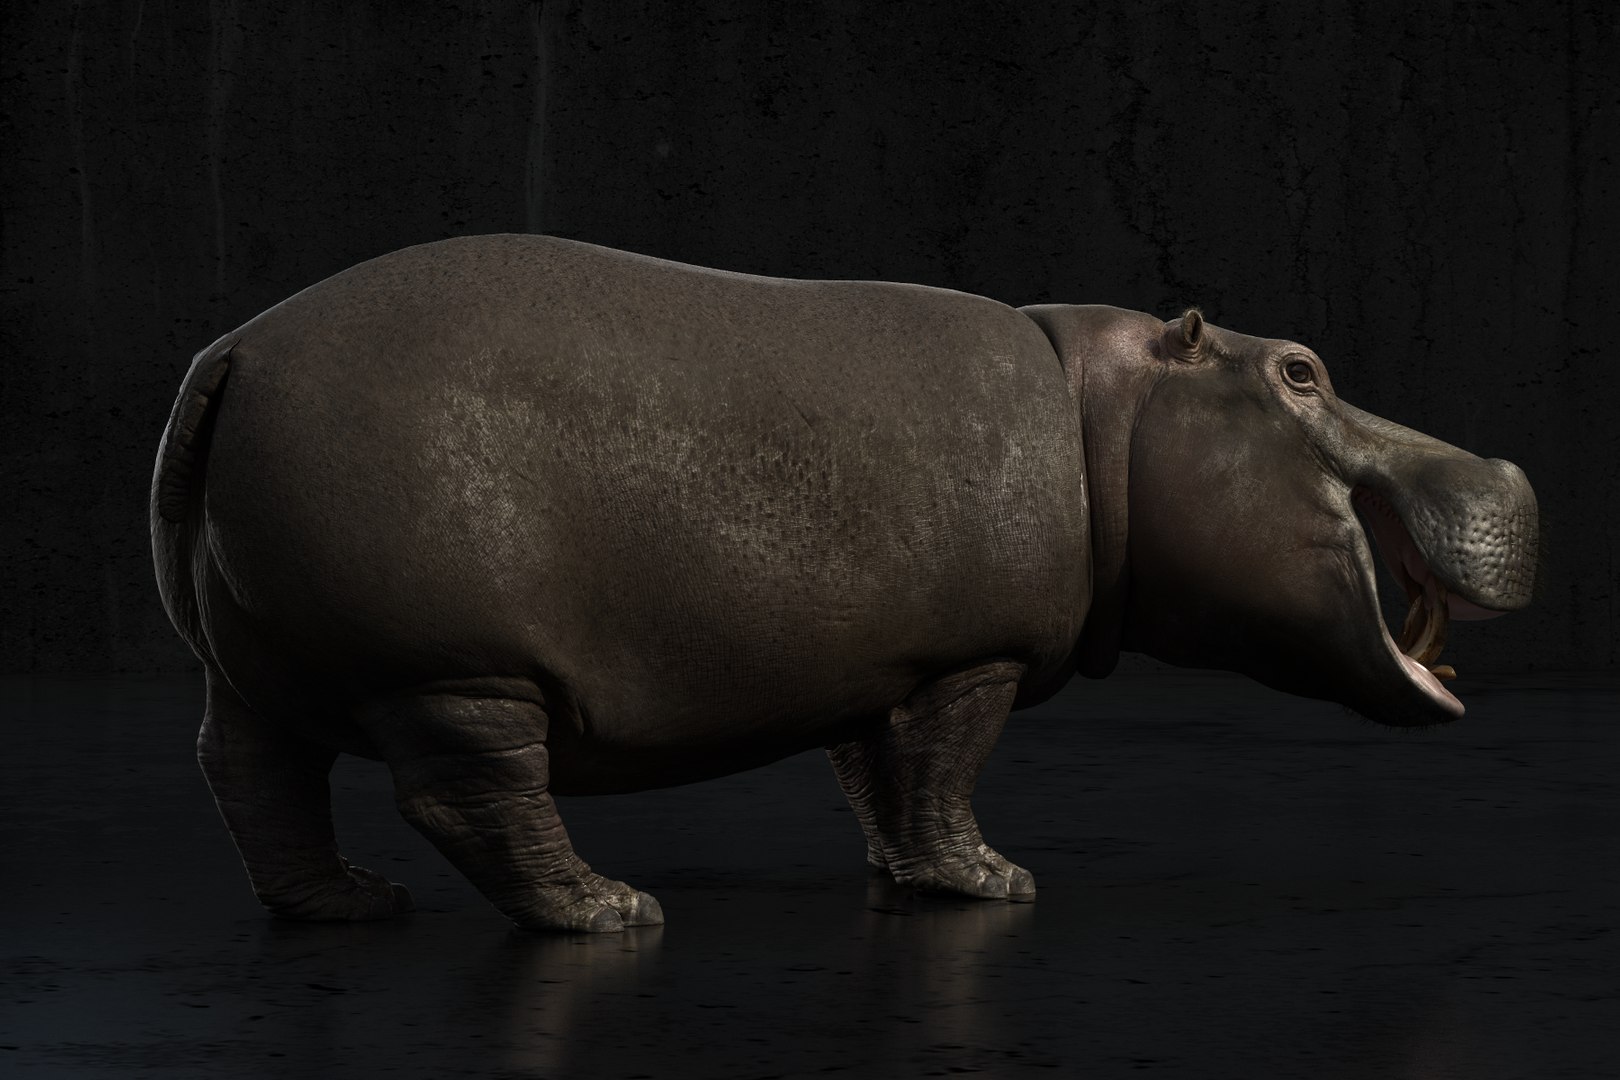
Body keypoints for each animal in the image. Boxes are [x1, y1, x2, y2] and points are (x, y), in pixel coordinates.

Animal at [151, 234, 1538, 932]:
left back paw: (344, 906)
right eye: (1301, 368)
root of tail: (232, 350)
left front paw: (918, 881)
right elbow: (946, 770)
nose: (1516, 467)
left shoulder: (886, 658)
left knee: (251, 774)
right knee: (471, 795)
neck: (1115, 404)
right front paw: (999, 885)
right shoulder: (975, 658)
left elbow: (883, 778)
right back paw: (611, 910)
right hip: (458, 671)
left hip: (253, 662)